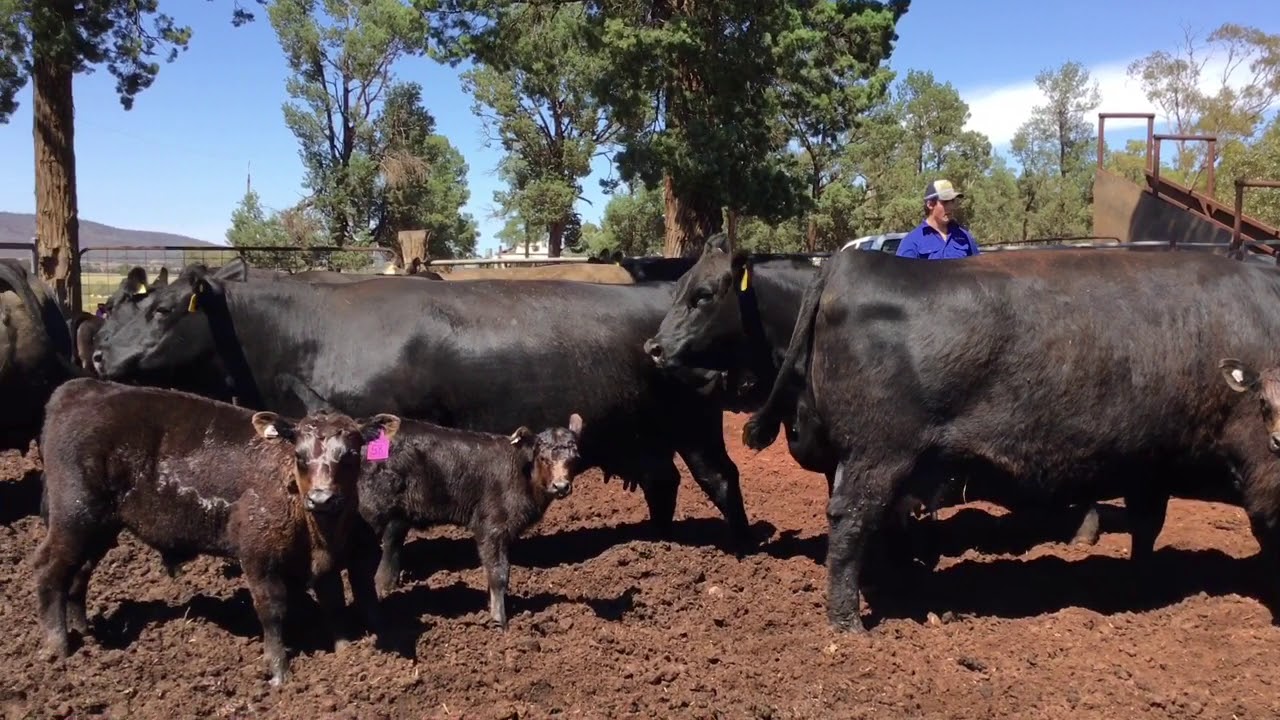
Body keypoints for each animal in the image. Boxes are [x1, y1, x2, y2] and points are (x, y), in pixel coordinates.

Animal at [32, 377, 397, 685]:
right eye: (299, 455)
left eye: (350, 455)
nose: (321, 498)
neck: (319, 532)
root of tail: (81, 388)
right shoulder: (257, 557)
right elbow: (272, 608)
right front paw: (279, 670)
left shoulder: (326, 561)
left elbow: (333, 600)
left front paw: (346, 653)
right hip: (74, 515)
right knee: (50, 570)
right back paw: (58, 647)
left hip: (100, 526)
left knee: (79, 573)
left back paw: (86, 632)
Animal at [89, 262, 756, 551]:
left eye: (163, 310)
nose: (97, 355)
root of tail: (665, 290)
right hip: (645, 432)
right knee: (663, 481)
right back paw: (654, 539)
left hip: (695, 424)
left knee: (721, 478)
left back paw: (741, 548)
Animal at [725, 246, 1278, 631]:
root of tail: (848, 261)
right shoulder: (1263, 464)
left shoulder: (1150, 463)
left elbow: (1147, 528)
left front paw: (1139, 586)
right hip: (878, 454)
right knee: (850, 523)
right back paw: (848, 623)